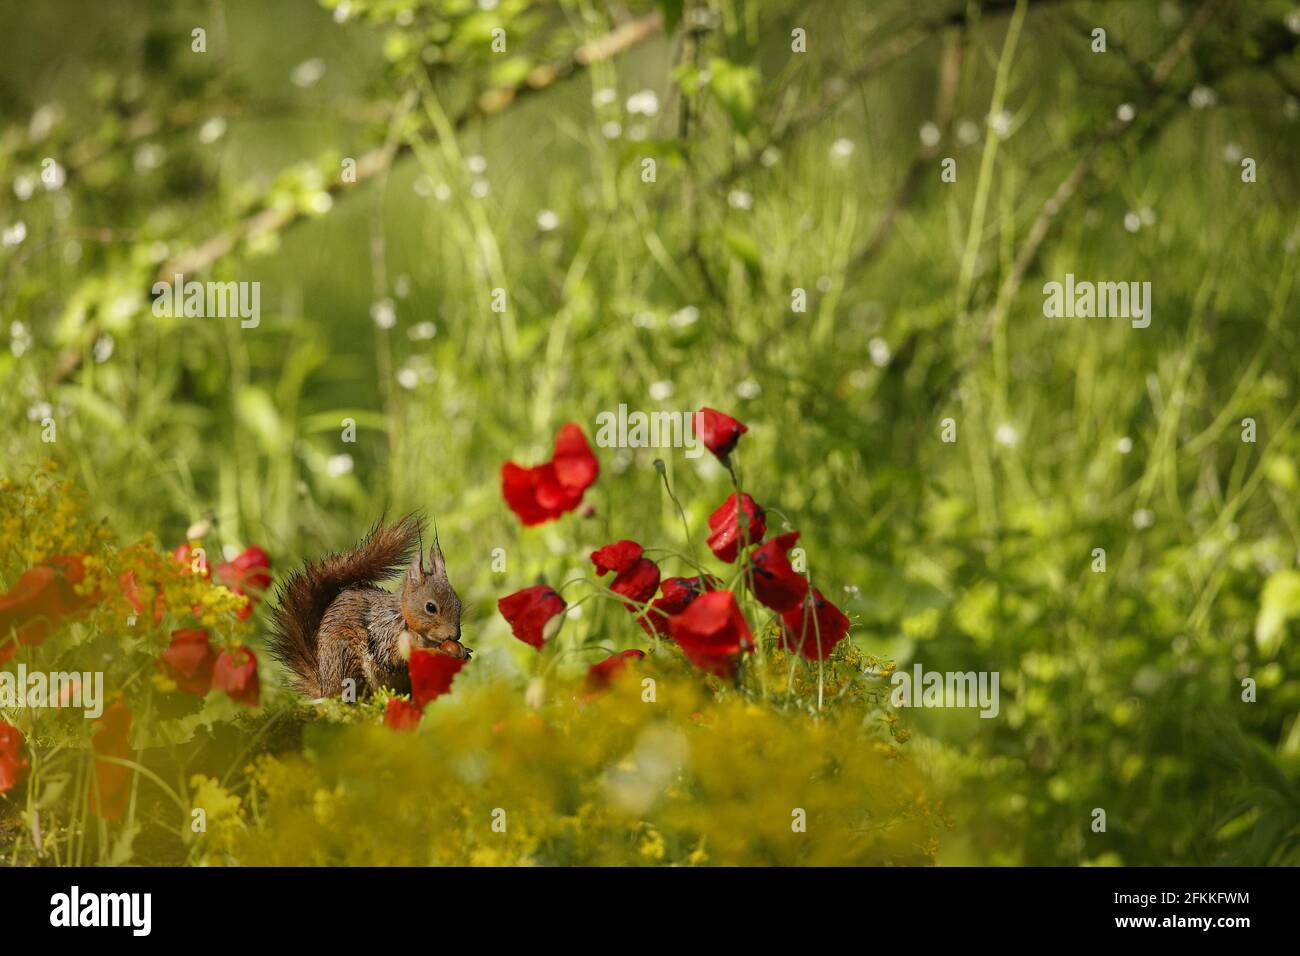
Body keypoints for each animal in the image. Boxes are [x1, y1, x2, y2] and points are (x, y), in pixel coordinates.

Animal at [268, 514, 469, 699]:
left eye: (458, 602)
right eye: (430, 607)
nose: (455, 635)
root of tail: (325, 689)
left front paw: (463, 650)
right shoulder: (386, 632)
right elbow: (394, 656)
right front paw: (437, 652)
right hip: (345, 657)